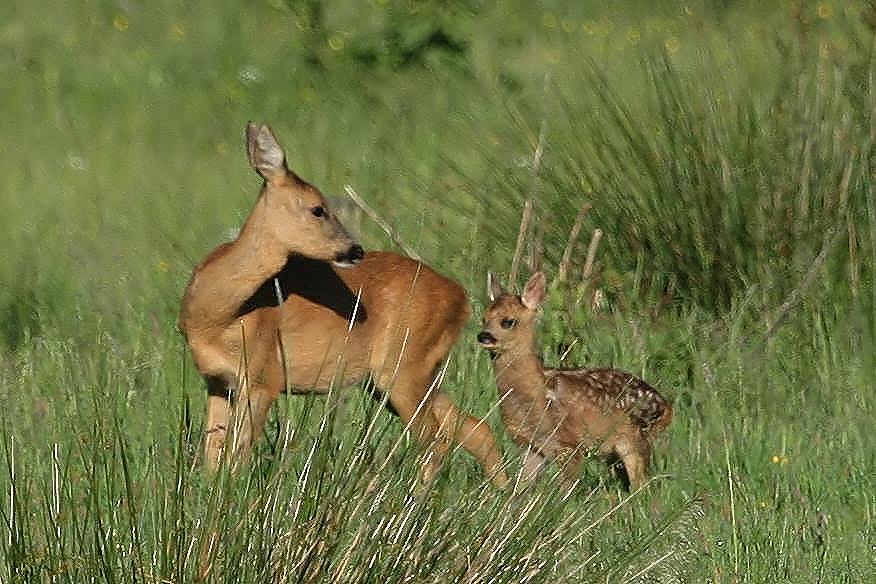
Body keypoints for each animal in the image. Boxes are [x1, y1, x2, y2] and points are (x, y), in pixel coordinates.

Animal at [179, 122, 508, 489]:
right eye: (318, 208)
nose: (355, 249)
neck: (215, 315)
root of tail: (461, 298)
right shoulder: (217, 380)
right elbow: (213, 454)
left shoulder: (265, 376)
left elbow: (237, 457)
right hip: (404, 375)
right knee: (474, 429)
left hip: (405, 364)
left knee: (435, 439)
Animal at [477, 271, 672, 491]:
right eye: (484, 318)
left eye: (508, 321)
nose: (483, 336)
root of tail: (667, 406)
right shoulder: (531, 445)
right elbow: (522, 486)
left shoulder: (570, 443)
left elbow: (567, 487)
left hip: (636, 441)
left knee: (642, 486)